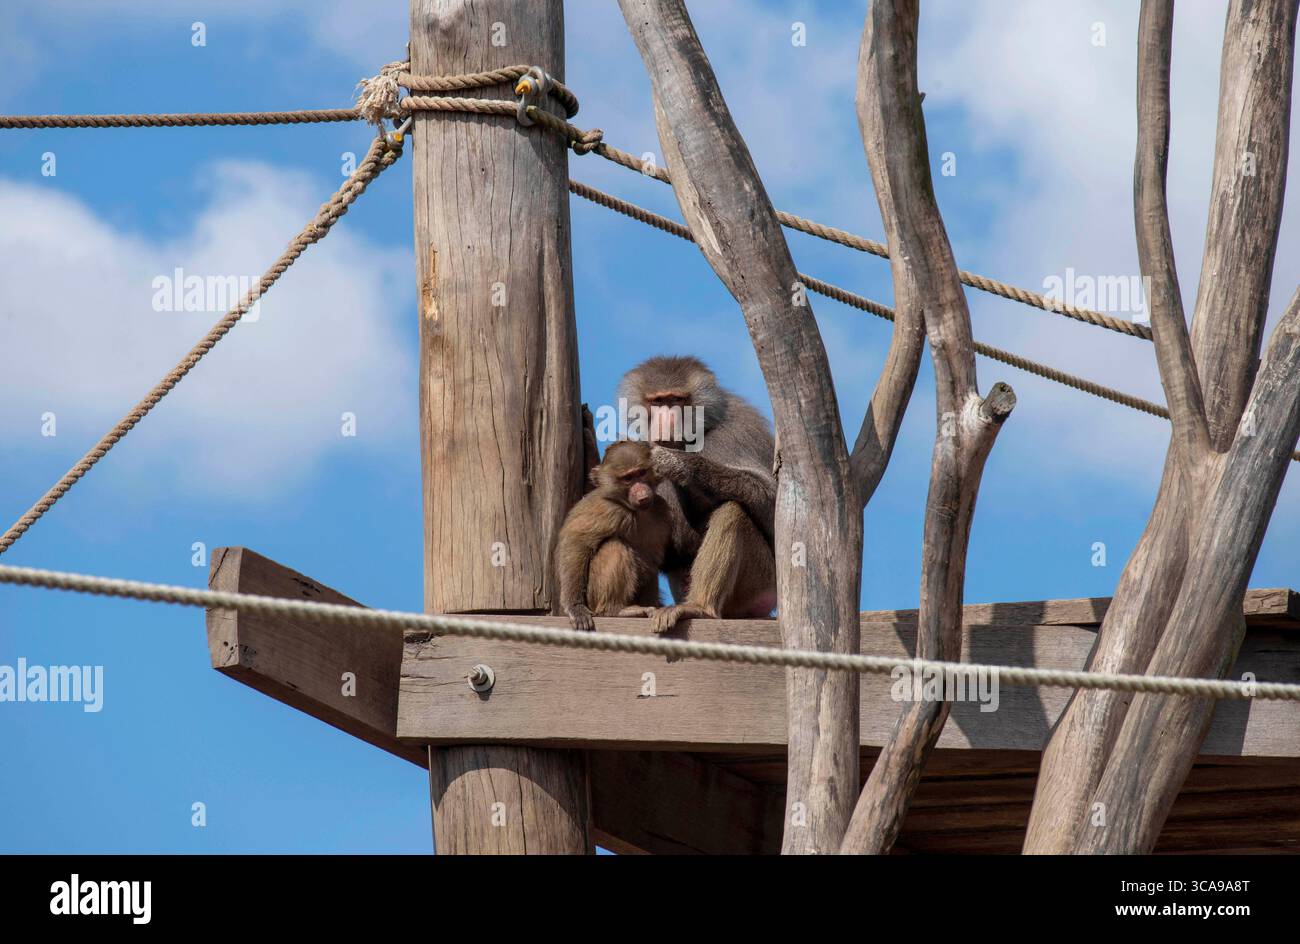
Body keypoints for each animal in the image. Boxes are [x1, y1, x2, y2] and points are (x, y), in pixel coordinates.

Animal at [554, 440, 672, 631]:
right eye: (628, 479)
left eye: (641, 473)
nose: (642, 491)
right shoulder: (609, 510)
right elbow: (576, 541)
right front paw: (575, 607)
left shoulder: (661, 510)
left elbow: (652, 560)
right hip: (593, 596)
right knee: (615, 547)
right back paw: (615, 610)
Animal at [616, 355, 777, 633]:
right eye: (657, 401)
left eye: (677, 400)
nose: (665, 425)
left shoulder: (734, 435)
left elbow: (774, 505)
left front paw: (679, 463)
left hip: (762, 581)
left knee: (733, 512)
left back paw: (699, 607)